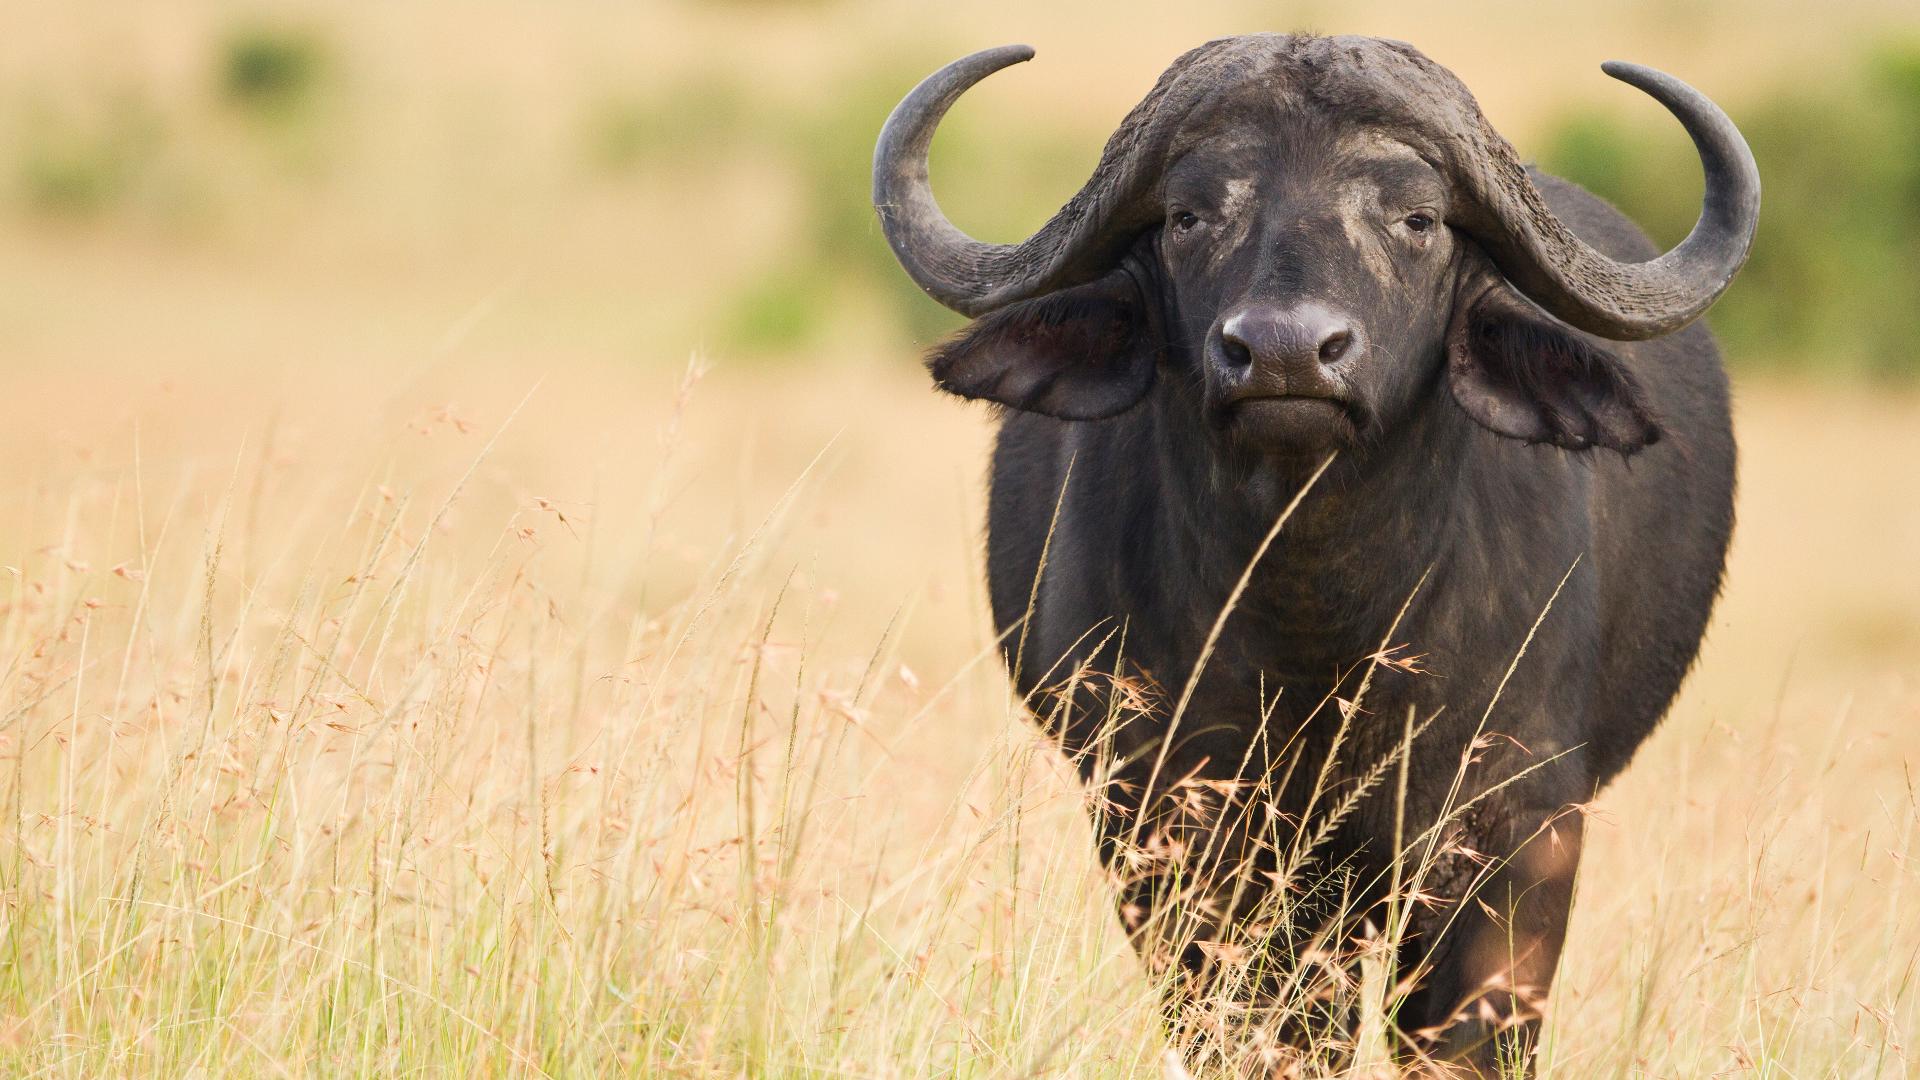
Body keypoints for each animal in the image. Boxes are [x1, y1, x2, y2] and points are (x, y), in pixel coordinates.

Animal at [873, 34, 1757, 1076]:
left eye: (1417, 218)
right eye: (1188, 215)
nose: (1287, 352)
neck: (1318, 626)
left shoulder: (1515, 833)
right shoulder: (1165, 824)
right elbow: (1261, 1028)